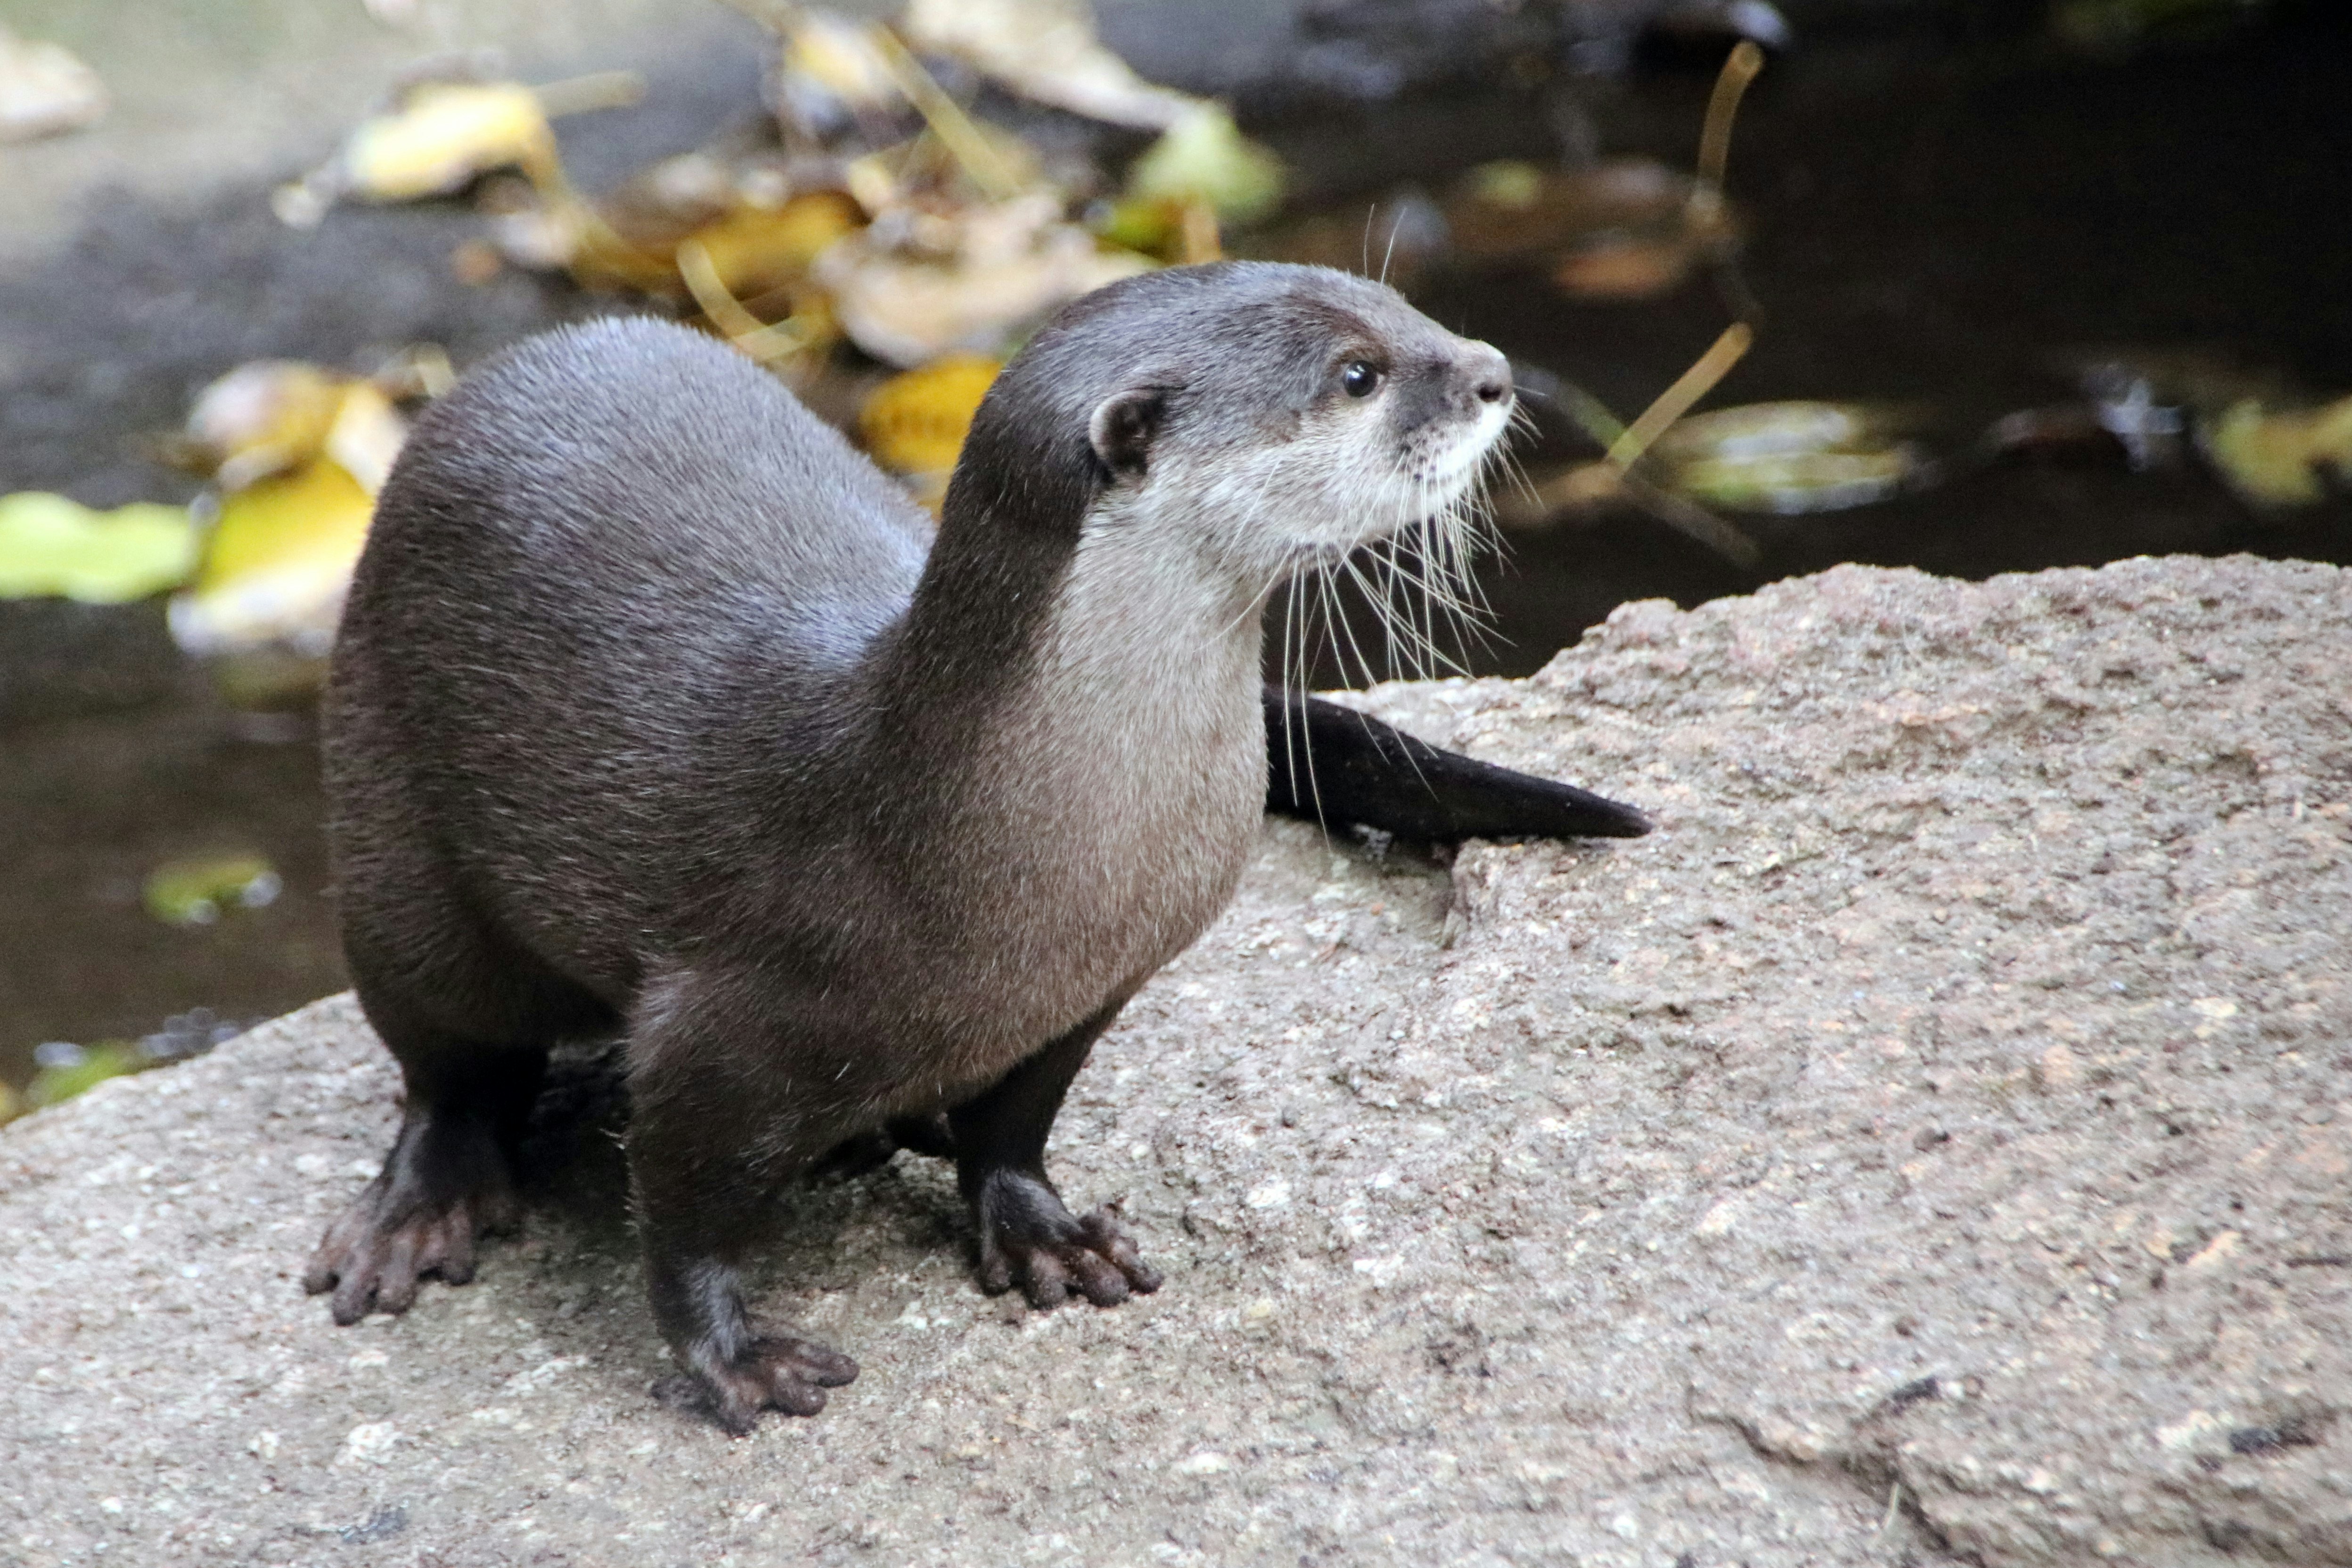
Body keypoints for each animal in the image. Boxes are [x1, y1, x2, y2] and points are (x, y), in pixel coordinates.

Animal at [305, 262, 1647, 1434]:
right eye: (1358, 373)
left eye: (1399, 305)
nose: (1492, 373)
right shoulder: (716, 1025)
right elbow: (681, 1210)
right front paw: (737, 1357)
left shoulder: (1091, 985)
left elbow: (1017, 1122)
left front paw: (1045, 1230)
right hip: (390, 848)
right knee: (444, 1057)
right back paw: (421, 1208)